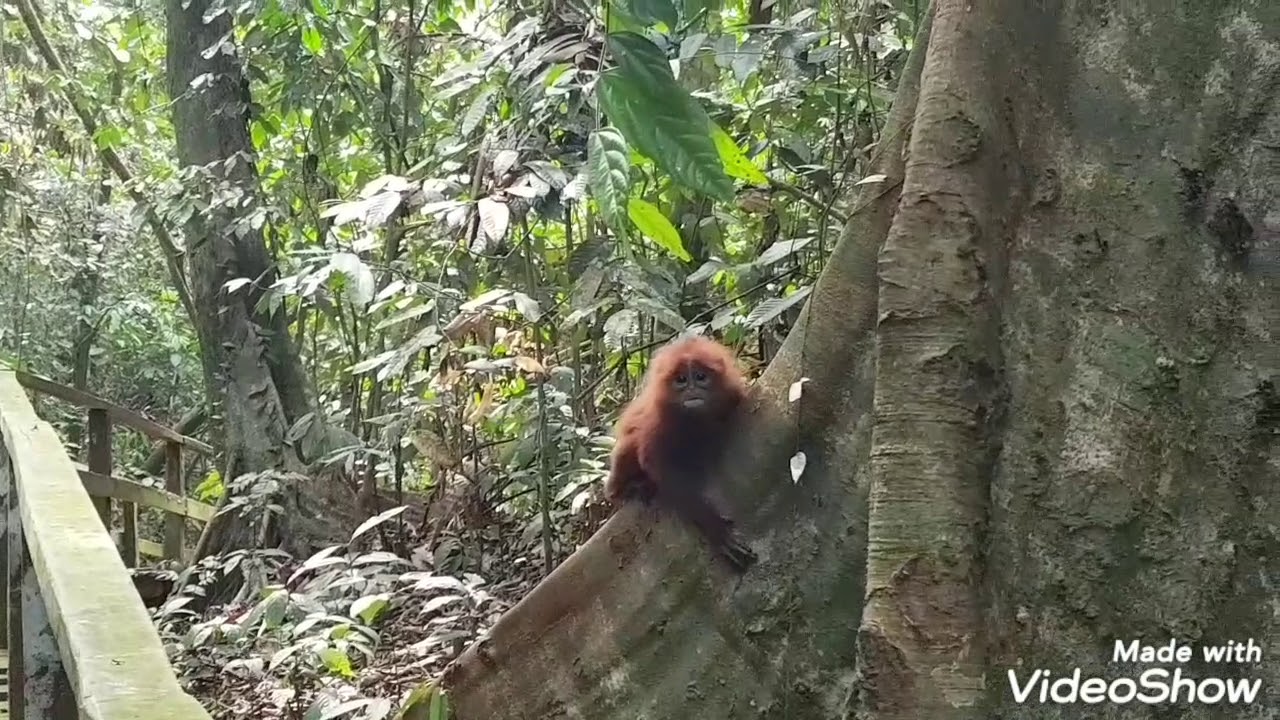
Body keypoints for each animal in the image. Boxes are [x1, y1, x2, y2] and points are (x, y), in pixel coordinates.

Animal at [604, 335, 758, 572]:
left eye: (700, 377)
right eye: (681, 379)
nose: (692, 390)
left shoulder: (733, 396)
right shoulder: (658, 420)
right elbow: (659, 467)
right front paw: (715, 528)